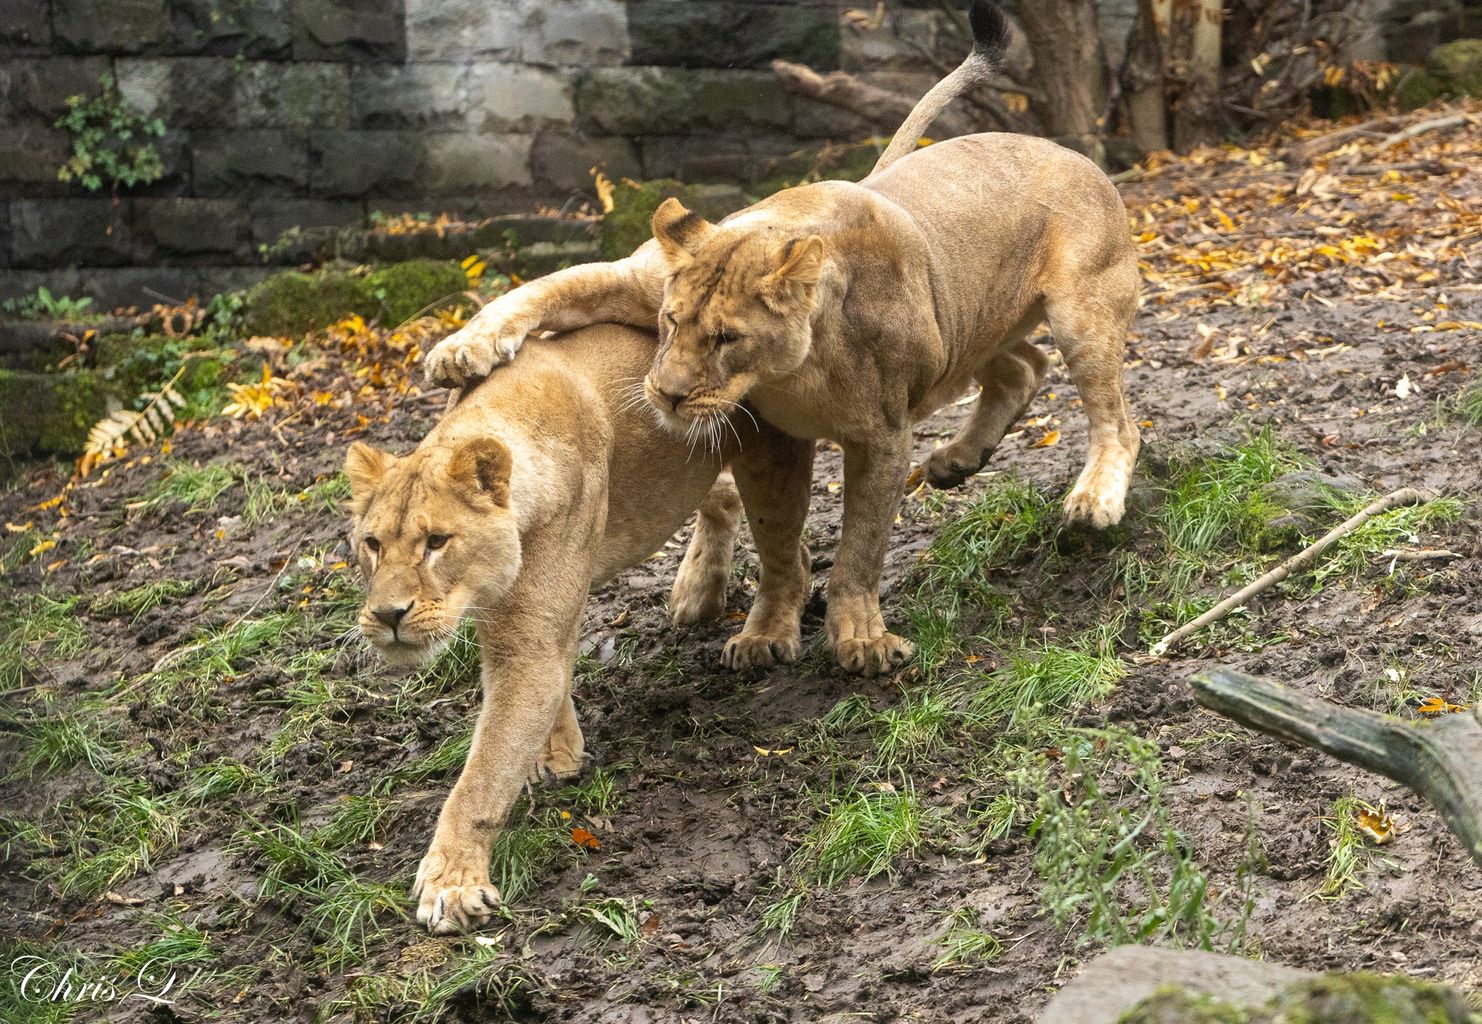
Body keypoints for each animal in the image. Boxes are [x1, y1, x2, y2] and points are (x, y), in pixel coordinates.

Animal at [345, 322, 811, 934]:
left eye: (437, 542)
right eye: (372, 544)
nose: (387, 615)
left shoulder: (529, 644)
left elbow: (482, 776)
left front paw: (451, 885)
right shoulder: (515, 626)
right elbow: (552, 687)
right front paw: (559, 754)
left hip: (766, 451)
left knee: (784, 539)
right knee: (724, 497)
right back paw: (698, 592)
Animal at [422, 0, 1140, 678]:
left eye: (727, 338)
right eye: (671, 322)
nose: (665, 395)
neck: (790, 372)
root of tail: (1070, 151)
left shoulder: (880, 435)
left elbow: (859, 546)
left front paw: (860, 637)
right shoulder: (724, 384)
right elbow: (541, 291)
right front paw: (462, 350)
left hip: (1078, 311)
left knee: (1114, 417)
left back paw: (1092, 498)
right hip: (966, 331)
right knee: (1022, 365)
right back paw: (954, 462)